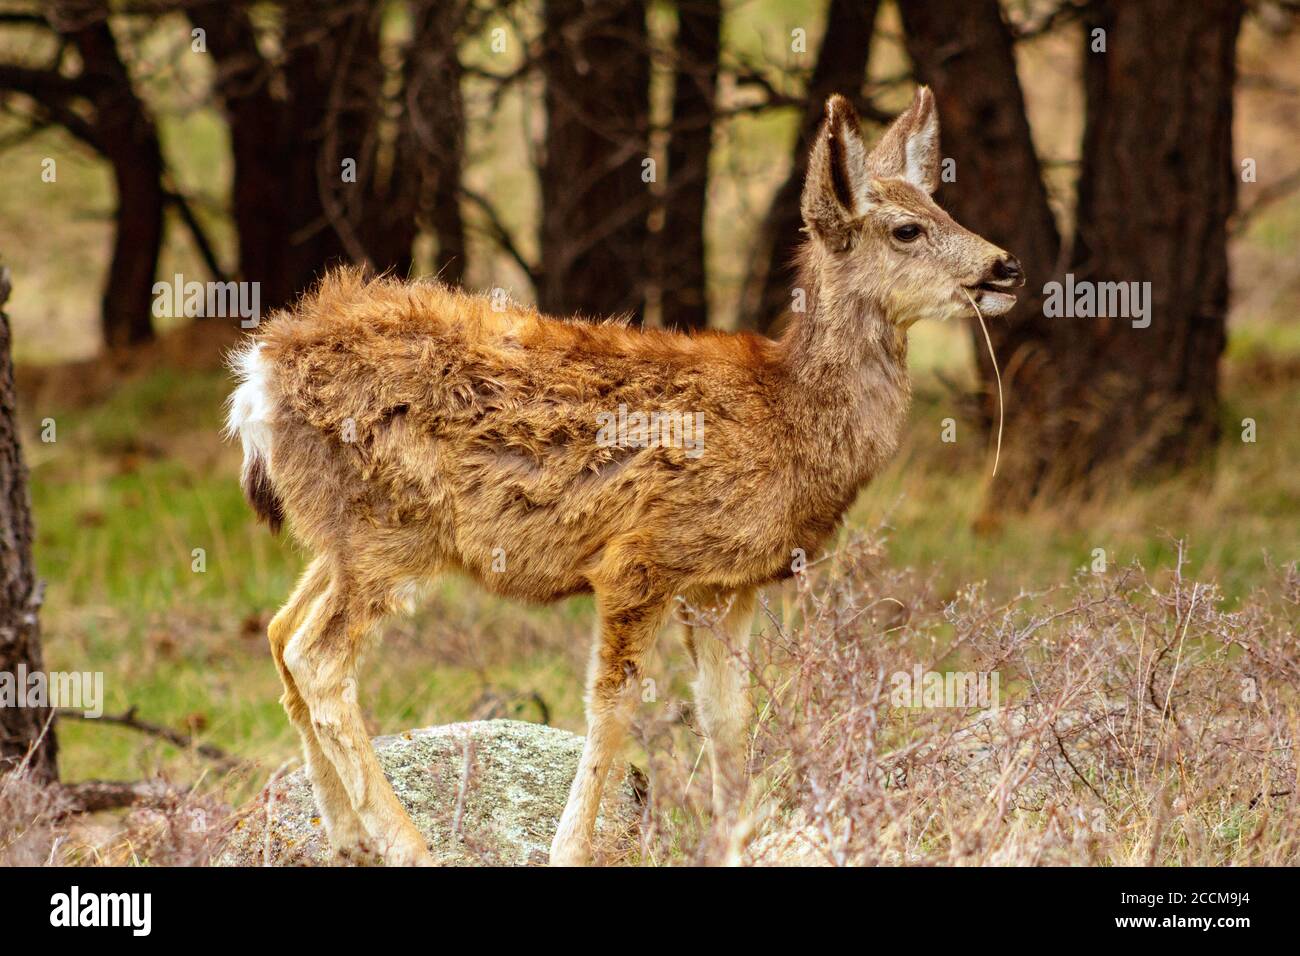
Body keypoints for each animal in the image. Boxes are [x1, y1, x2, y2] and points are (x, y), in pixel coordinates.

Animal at [225, 87, 1023, 867]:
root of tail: (259, 370)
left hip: (342, 535)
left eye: (943, 208)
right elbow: (611, 711)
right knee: (317, 657)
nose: (1006, 266)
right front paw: (569, 849)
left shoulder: (724, 584)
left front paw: (734, 843)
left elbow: (725, 717)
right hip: (386, 528)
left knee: (280, 631)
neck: (788, 418)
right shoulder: (641, 557)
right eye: (906, 229)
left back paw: (345, 835)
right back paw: (405, 843)